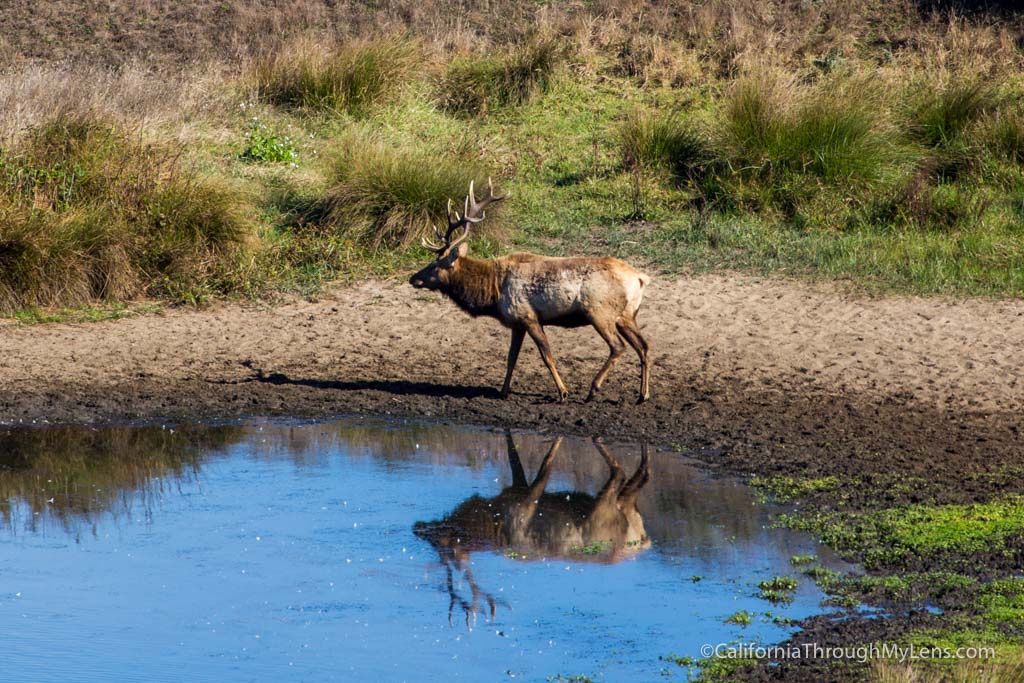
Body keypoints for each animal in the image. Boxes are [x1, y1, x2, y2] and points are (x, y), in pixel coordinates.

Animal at [408, 180, 652, 403]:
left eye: (435, 265)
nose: (413, 278)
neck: (493, 293)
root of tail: (640, 278)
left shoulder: (529, 316)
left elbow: (547, 355)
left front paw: (563, 392)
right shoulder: (516, 323)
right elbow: (511, 358)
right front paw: (503, 391)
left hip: (600, 312)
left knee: (618, 347)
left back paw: (594, 389)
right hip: (626, 315)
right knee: (644, 346)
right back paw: (643, 395)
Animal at [413, 433, 651, 627]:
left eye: (442, 543)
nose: (417, 528)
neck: (492, 522)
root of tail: (641, 541)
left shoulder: (526, 499)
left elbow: (546, 461)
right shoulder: (517, 487)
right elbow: (513, 454)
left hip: (601, 511)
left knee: (620, 472)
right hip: (625, 506)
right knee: (641, 476)